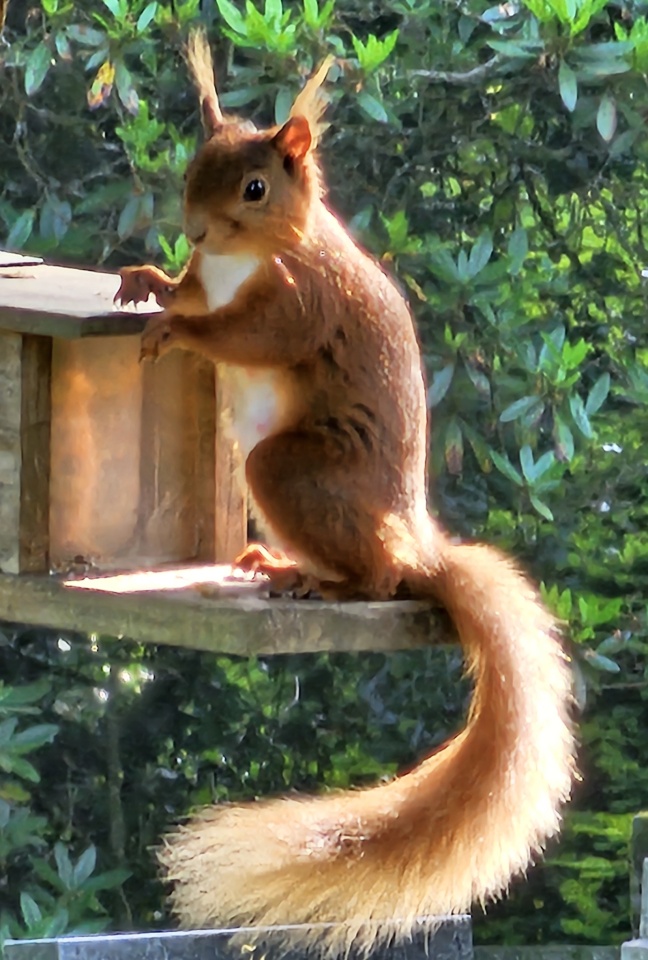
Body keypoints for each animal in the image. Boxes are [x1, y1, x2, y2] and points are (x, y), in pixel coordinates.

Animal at [116, 31, 575, 959]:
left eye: (256, 187)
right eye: (193, 164)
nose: (193, 228)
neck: (239, 257)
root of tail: (418, 541)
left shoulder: (301, 301)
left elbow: (246, 333)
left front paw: (177, 327)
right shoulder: (211, 272)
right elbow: (187, 288)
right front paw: (150, 278)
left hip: (286, 474)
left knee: (377, 578)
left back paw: (319, 582)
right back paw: (272, 564)